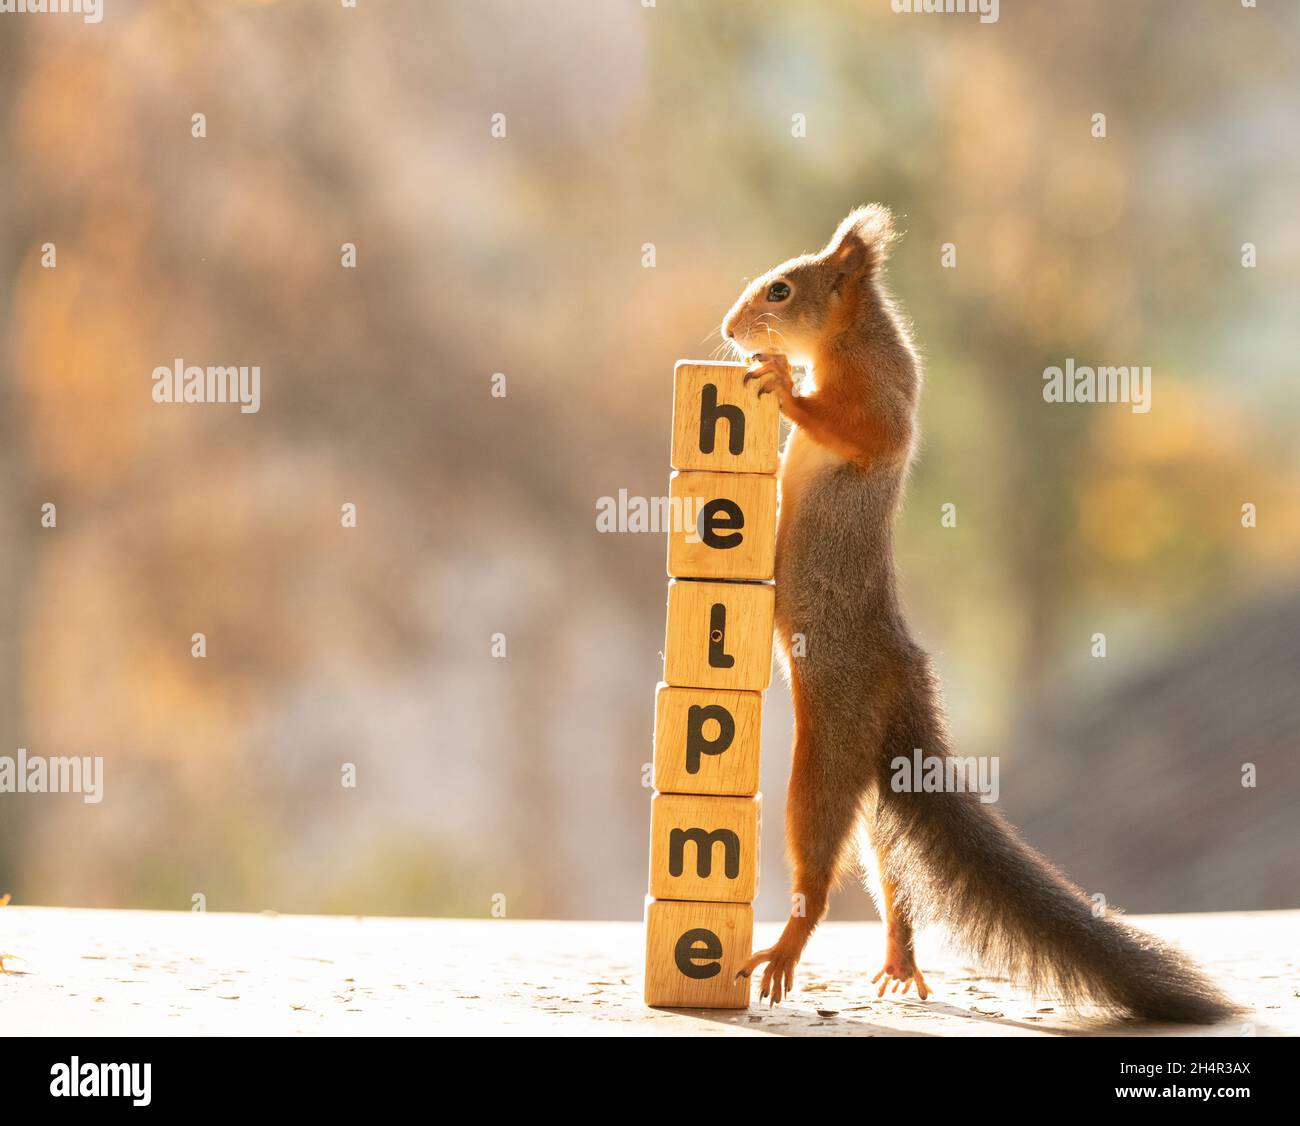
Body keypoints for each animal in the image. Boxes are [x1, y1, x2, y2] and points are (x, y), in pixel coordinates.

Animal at [719, 205, 1237, 1023]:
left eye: (779, 289)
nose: (731, 328)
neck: (850, 338)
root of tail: (904, 688)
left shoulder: (882, 406)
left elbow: (859, 431)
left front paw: (781, 379)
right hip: (879, 790)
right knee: (896, 872)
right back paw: (900, 960)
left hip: (830, 738)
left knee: (821, 856)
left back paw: (790, 946)